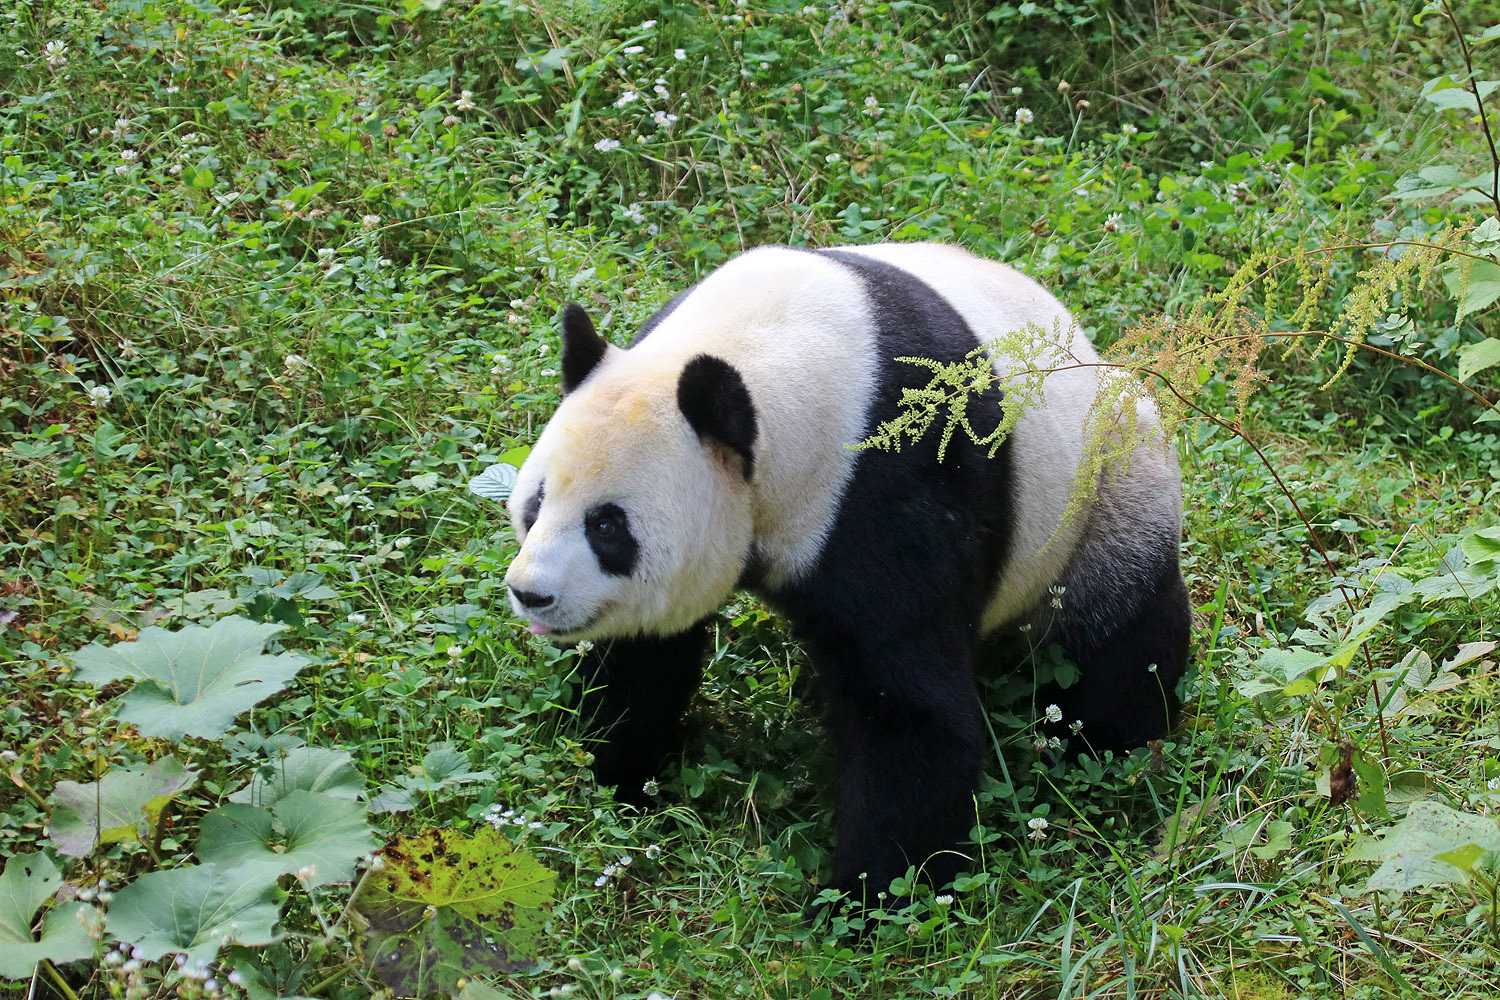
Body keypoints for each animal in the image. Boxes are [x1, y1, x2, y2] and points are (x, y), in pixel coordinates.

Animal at [503, 242, 1189, 900]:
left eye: (607, 527)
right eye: (535, 503)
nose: (530, 594)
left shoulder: (890, 482)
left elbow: (906, 705)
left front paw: (870, 896)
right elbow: (641, 658)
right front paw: (618, 778)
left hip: (1105, 482)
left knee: (1121, 630)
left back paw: (1108, 749)